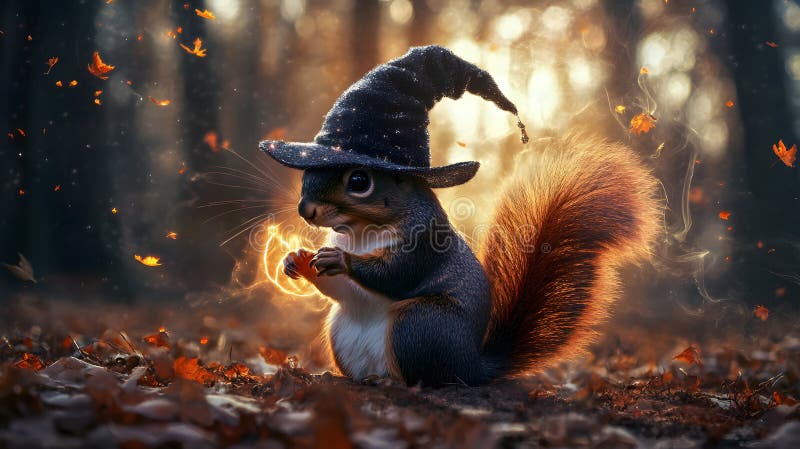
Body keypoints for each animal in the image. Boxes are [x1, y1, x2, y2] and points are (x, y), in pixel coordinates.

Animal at [261, 46, 660, 386]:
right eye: (306, 172)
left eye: (359, 181)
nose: (306, 210)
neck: (361, 232)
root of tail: (471, 366)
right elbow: (342, 291)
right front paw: (296, 260)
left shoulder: (425, 239)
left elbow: (396, 273)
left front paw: (340, 259)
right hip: (344, 331)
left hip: (422, 323)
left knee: (426, 376)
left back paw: (394, 381)